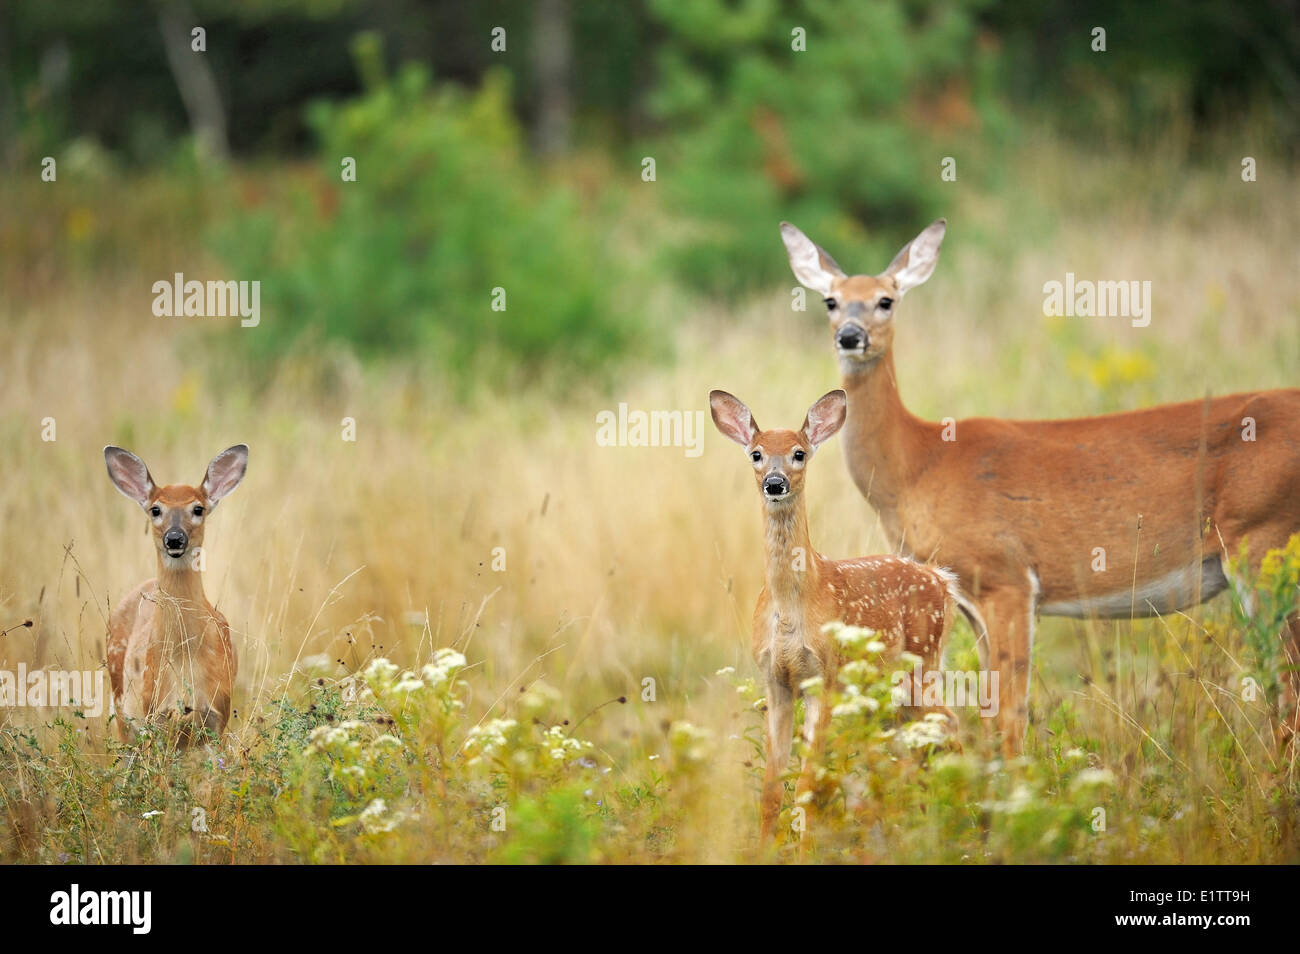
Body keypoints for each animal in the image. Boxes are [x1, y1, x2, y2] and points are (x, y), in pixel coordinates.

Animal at [103, 444, 247, 743]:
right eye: (155, 509)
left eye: (198, 508)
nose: (174, 538)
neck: (185, 659)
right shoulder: (154, 713)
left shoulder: (218, 714)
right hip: (122, 706)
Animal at [710, 388, 962, 843]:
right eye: (756, 454)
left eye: (799, 453)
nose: (775, 483)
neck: (793, 607)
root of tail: (944, 581)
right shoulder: (775, 680)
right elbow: (772, 787)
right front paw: (764, 848)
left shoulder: (824, 675)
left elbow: (808, 783)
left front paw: (805, 846)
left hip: (921, 665)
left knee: (951, 727)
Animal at [780, 219, 1300, 757]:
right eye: (831, 300)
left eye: (886, 299)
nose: (850, 336)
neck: (917, 465)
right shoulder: (968, 596)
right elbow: (991, 713)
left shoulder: (1007, 575)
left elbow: (1011, 715)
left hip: (1264, 541)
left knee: (1286, 688)